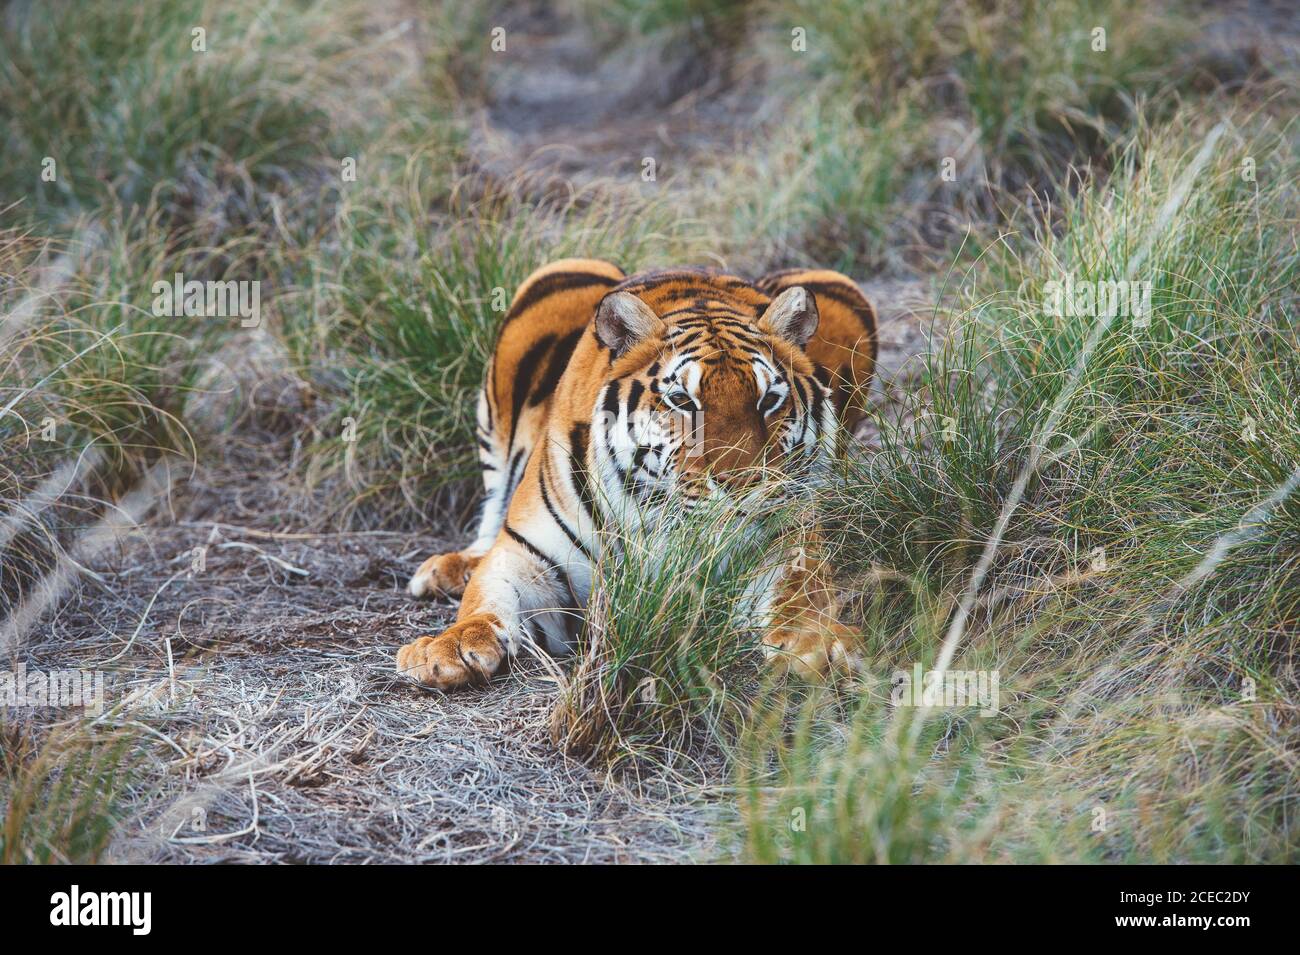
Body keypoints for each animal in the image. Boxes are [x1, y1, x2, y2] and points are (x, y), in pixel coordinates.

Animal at [396, 260, 877, 690]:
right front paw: (448, 648)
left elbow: (799, 595)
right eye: (683, 401)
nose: (743, 485)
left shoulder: (787, 540)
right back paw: (446, 570)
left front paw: (822, 644)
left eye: (769, 400)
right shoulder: (526, 554)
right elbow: (484, 598)